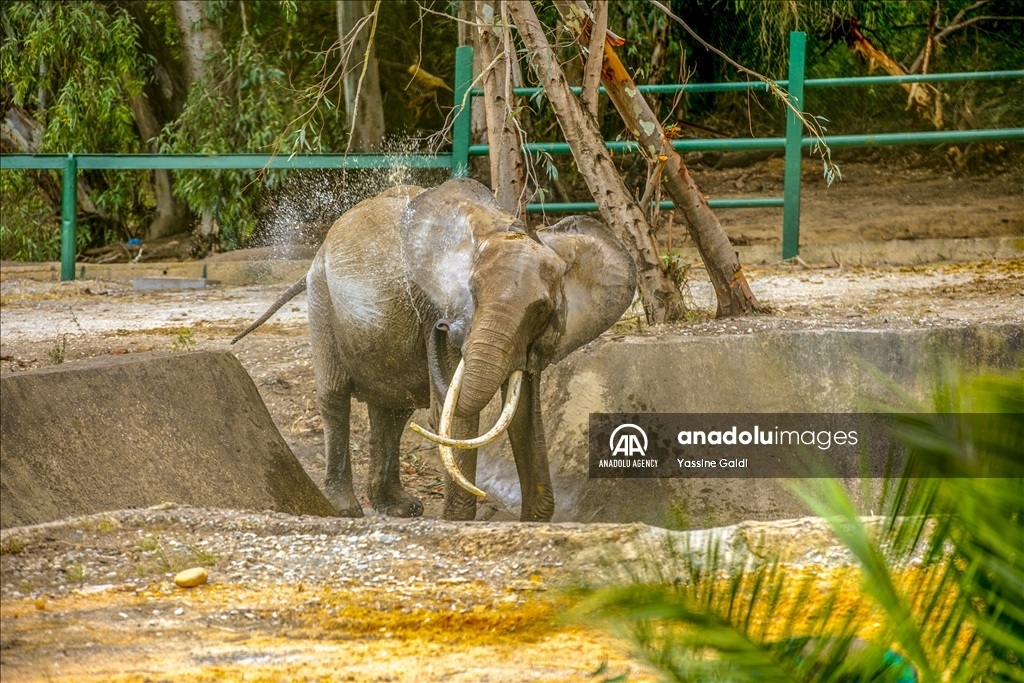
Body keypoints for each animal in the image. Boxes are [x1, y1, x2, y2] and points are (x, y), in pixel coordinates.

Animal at [233, 178, 636, 521]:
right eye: (472, 292)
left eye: (540, 310)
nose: (442, 328)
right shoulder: (436, 309)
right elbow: (456, 417)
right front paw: (460, 523)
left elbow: (524, 414)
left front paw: (533, 523)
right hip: (321, 299)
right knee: (335, 397)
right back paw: (347, 510)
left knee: (392, 412)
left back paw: (399, 508)